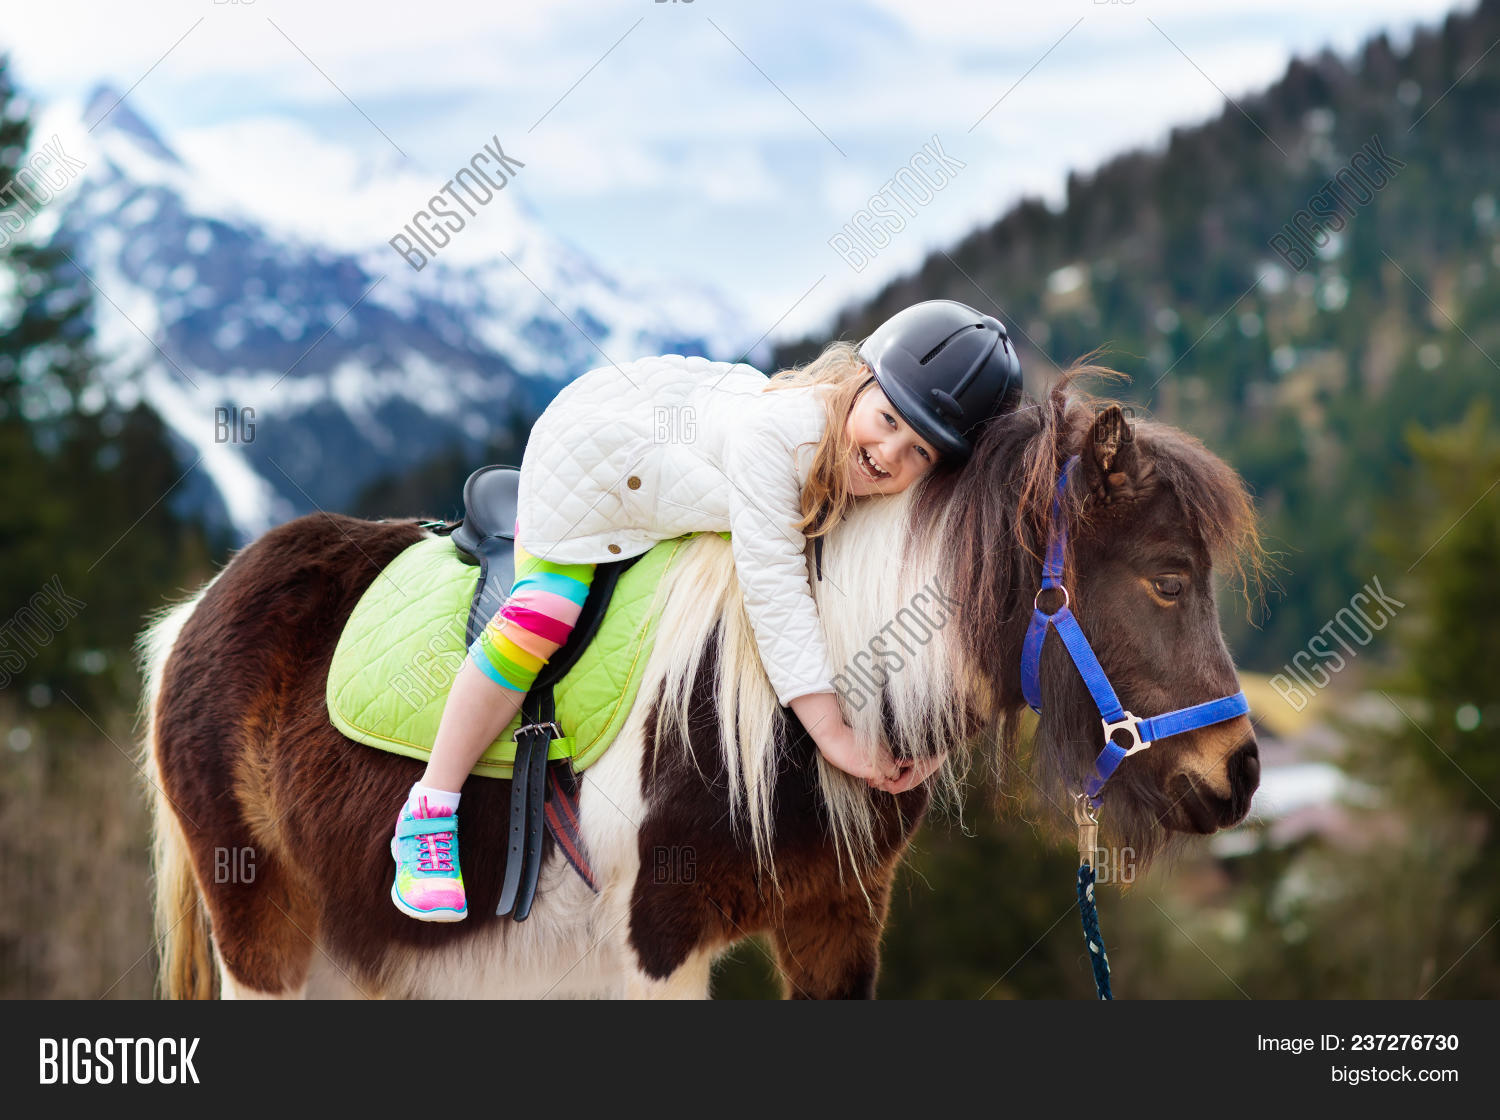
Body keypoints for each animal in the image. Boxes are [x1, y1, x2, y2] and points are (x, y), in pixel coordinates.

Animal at [136, 368, 1265, 999]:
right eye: (1168, 578)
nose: (1240, 773)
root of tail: (195, 614)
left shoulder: (835, 927)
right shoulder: (652, 948)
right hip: (265, 937)